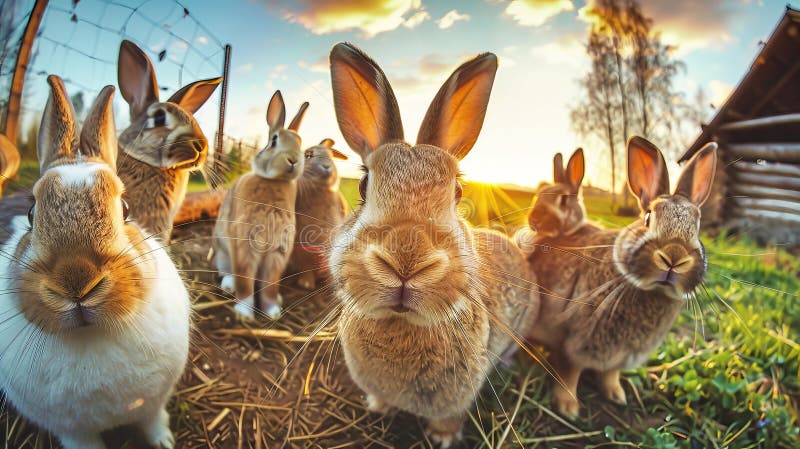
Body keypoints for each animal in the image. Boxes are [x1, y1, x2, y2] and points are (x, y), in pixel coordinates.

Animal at [0, 76, 191, 449]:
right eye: (30, 215)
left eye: (126, 210)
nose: (77, 283)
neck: (89, 336)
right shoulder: (74, 431)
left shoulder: (153, 404)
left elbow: (153, 422)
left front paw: (164, 442)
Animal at [213, 91, 308, 320]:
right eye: (274, 140)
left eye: (299, 143)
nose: (293, 160)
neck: (274, 181)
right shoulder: (244, 244)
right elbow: (245, 281)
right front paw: (244, 314)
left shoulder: (278, 251)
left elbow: (270, 285)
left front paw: (273, 311)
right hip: (222, 251)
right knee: (227, 271)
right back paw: (228, 286)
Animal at [288, 138, 350, 290]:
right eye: (308, 155)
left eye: (330, 157)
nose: (327, 167)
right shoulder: (301, 252)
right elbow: (306, 268)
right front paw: (306, 285)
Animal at [327, 42, 538, 448]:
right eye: (363, 186)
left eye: (458, 191)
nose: (406, 261)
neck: (400, 324)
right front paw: (378, 407)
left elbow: (450, 418)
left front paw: (442, 437)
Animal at [526, 136, 718, 419]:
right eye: (648, 217)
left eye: (698, 226)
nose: (674, 256)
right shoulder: (572, 343)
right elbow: (568, 374)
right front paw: (568, 408)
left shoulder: (617, 356)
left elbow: (610, 375)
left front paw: (617, 396)